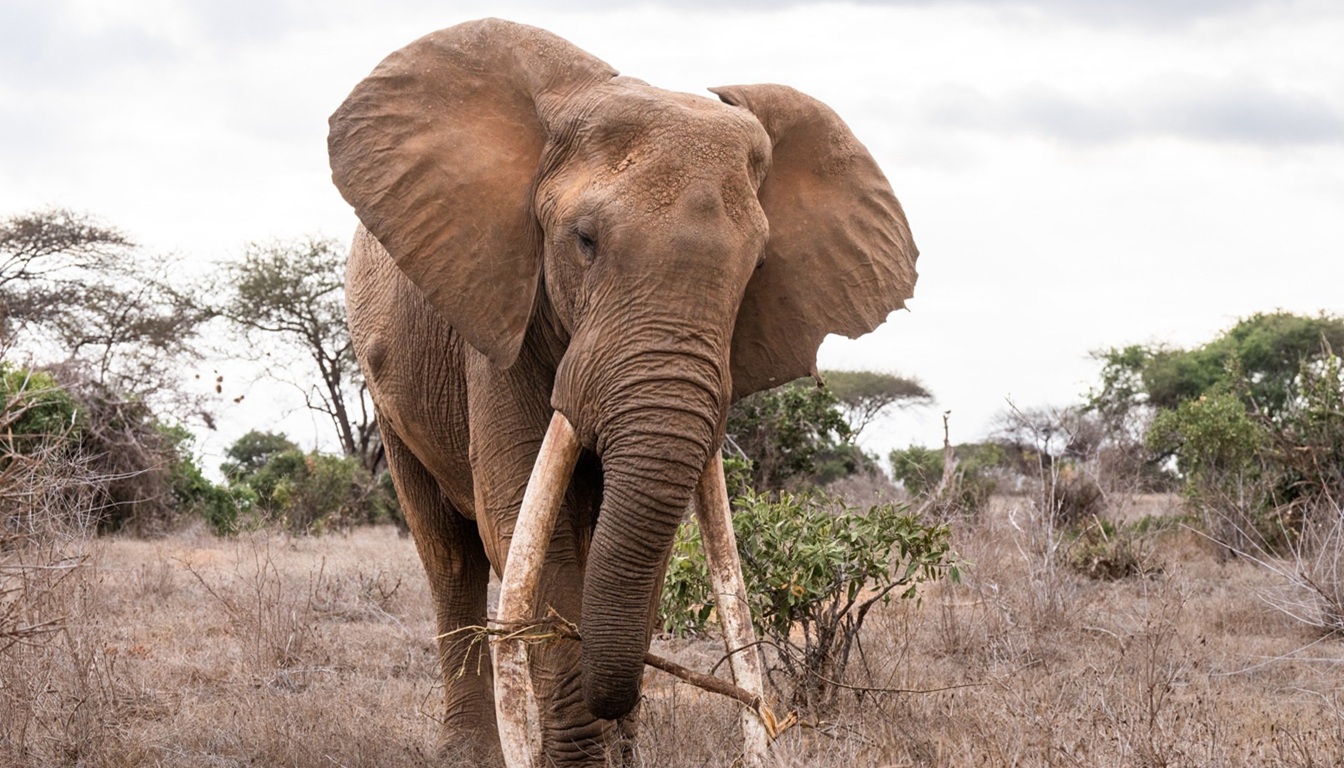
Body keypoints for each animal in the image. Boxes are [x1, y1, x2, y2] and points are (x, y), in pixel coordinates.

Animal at [328, 18, 917, 766]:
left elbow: (641, 542)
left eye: (757, 266)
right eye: (584, 241)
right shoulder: (498, 316)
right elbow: (524, 522)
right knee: (449, 554)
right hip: (388, 389)